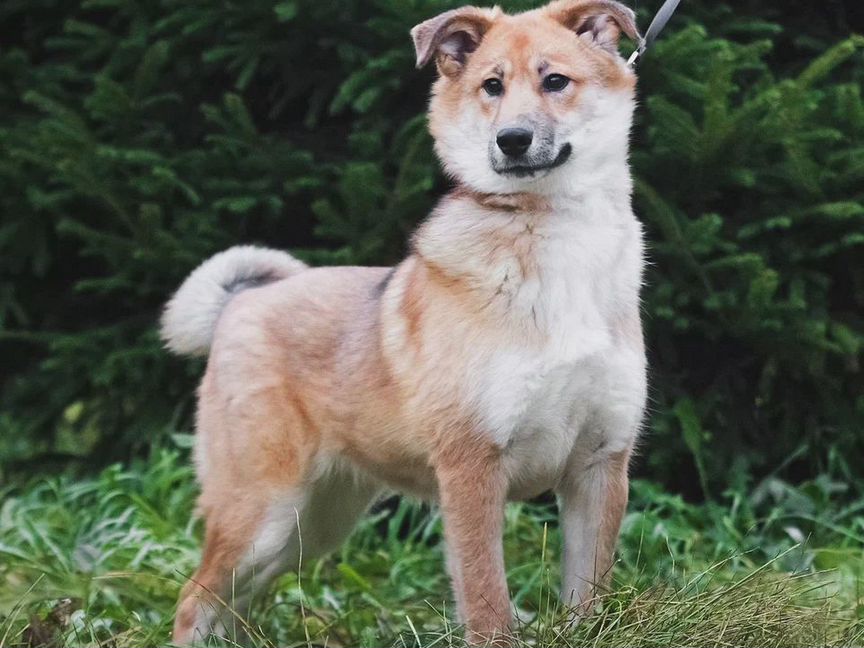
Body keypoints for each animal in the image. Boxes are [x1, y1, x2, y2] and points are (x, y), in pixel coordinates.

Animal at [162, 1, 644, 644]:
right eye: (491, 86)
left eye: (556, 81)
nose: (512, 140)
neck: (556, 237)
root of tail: (239, 305)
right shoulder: (472, 470)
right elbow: (487, 602)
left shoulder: (599, 466)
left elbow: (587, 598)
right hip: (263, 512)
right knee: (194, 602)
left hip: (310, 527)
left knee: (233, 607)